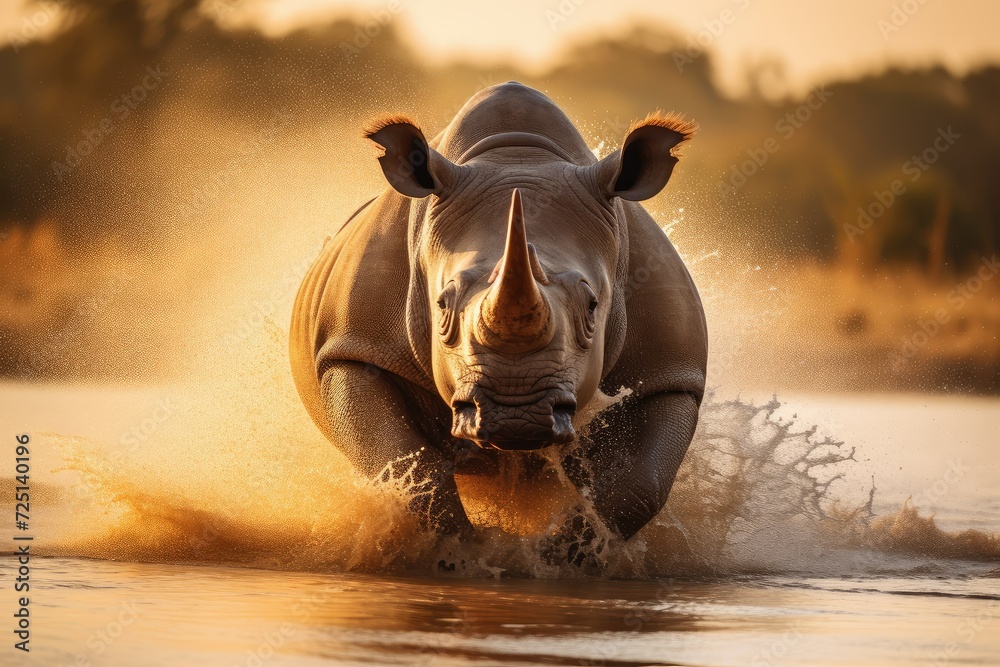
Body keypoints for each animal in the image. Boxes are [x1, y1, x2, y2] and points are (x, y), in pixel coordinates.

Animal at [290, 82, 707, 553]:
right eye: (442, 305)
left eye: (592, 307)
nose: (515, 415)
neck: (517, 155)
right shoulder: (356, 346)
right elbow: (409, 473)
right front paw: (461, 553)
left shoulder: (670, 371)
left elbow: (637, 485)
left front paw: (559, 556)